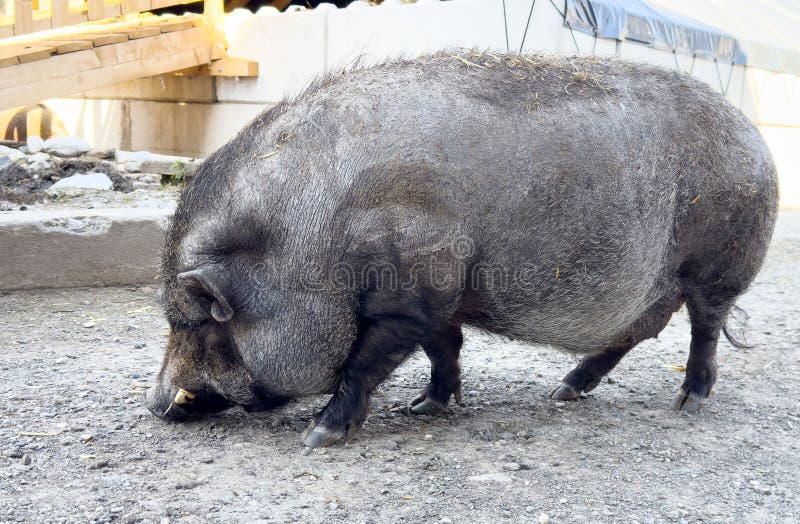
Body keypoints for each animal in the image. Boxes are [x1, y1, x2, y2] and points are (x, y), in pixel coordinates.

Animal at [145, 52, 778, 448]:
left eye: (199, 320)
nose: (154, 403)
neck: (313, 238)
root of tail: (754, 136)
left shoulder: (410, 293)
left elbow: (364, 362)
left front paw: (317, 436)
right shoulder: (437, 295)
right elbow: (443, 347)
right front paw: (423, 408)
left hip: (722, 261)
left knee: (703, 327)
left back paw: (689, 402)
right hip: (656, 287)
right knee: (635, 332)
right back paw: (564, 391)